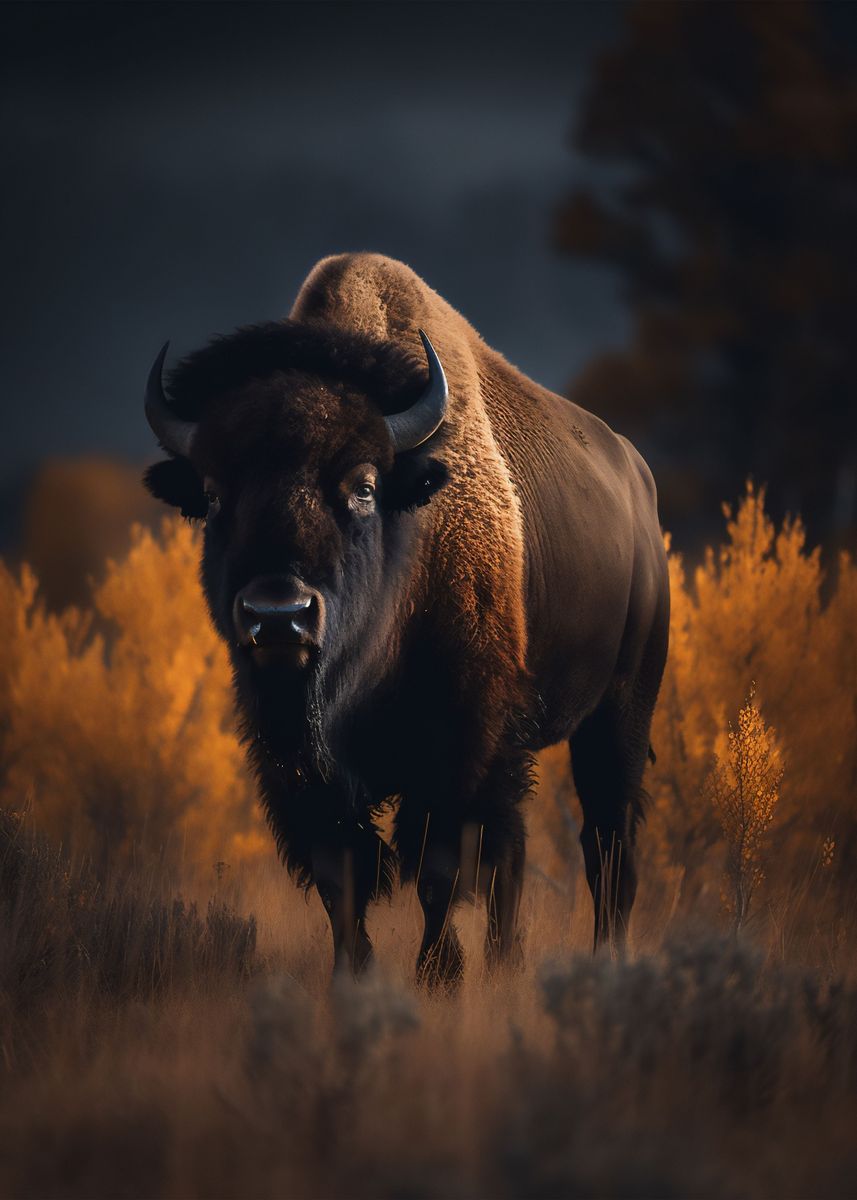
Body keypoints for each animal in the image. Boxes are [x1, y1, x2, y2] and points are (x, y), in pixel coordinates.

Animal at [143, 253, 669, 985]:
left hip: (618, 711)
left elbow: (439, 871)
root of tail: (639, 489)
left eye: (363, 487)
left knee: (607, 845)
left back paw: (604, 964)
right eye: (215, 495)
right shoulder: (302, 765)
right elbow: (342, 876)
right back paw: (505, 964)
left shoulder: (458, 747)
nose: (279, 614)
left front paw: (437, 977)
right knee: (518, 856)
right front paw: (354, 978)